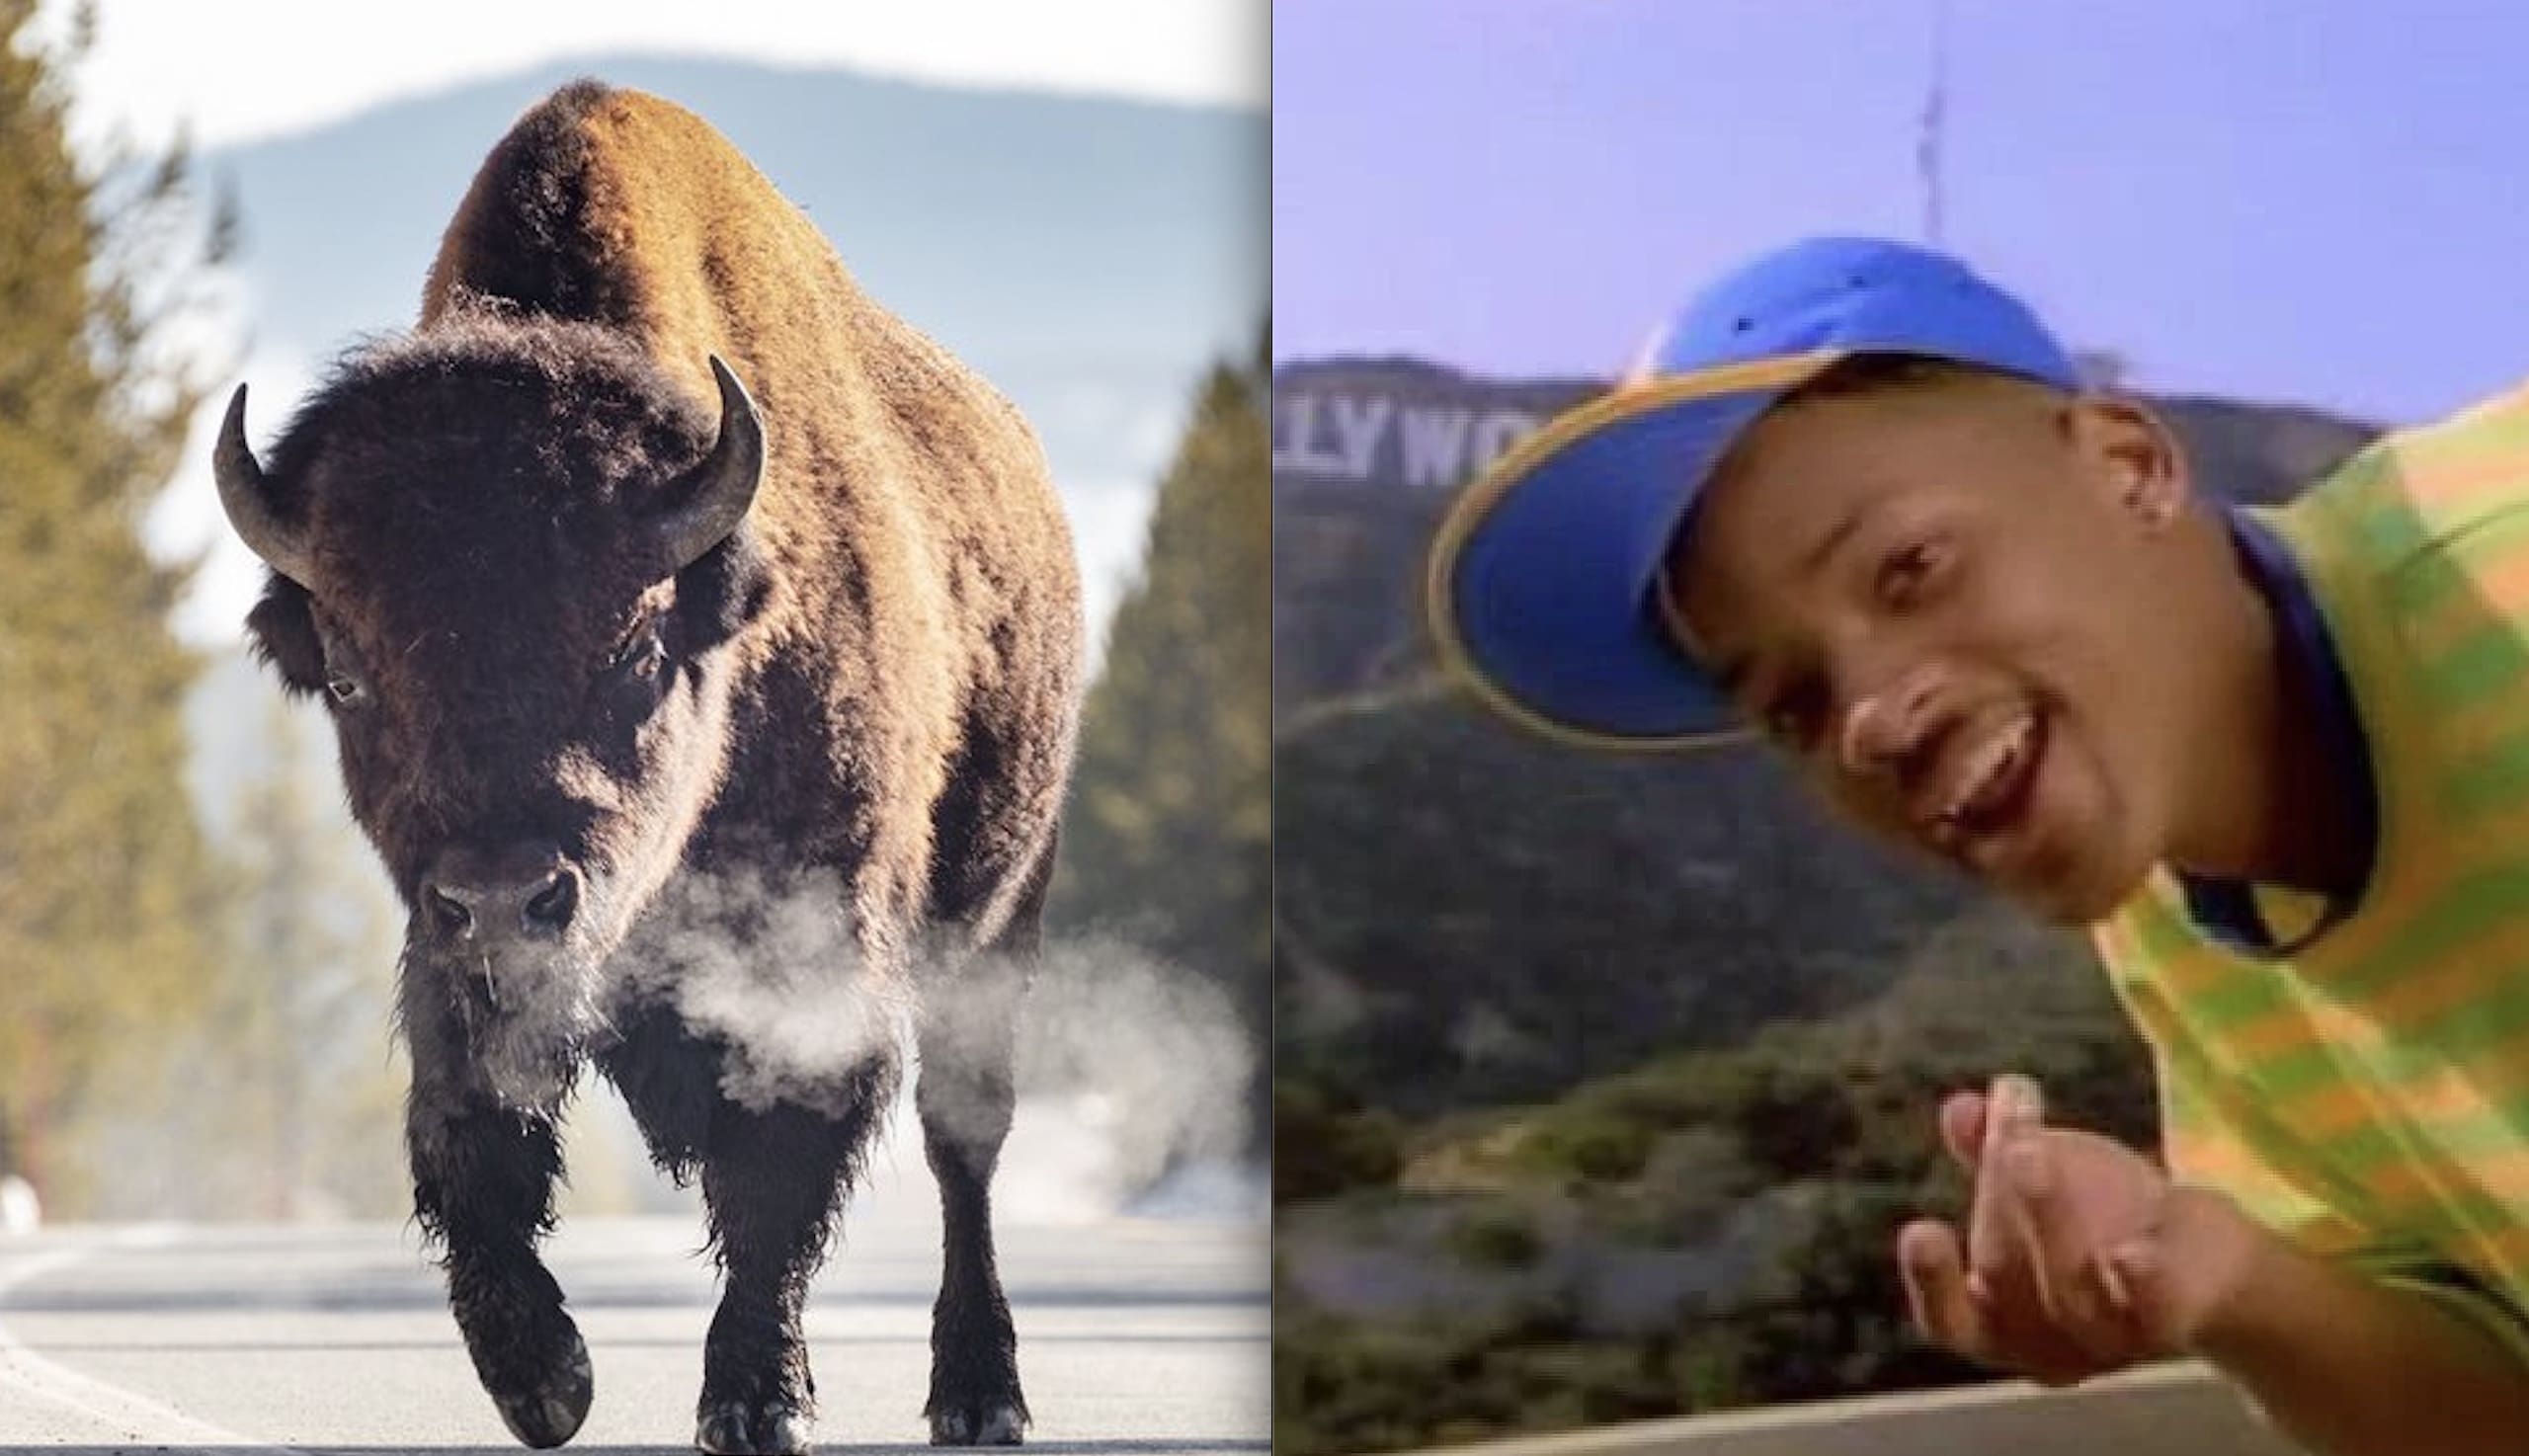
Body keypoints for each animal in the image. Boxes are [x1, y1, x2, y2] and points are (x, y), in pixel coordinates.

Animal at [212, 81, 1081, 1452]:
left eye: (633, 647)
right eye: (348, 677)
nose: (504, 896)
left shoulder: (809, 954)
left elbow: (779, 1159)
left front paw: (754, 1400)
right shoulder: (448, 956)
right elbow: (470, 1129)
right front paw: (543, 1378)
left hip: (998, 914)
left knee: (966, 1141)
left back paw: (979, 1391)